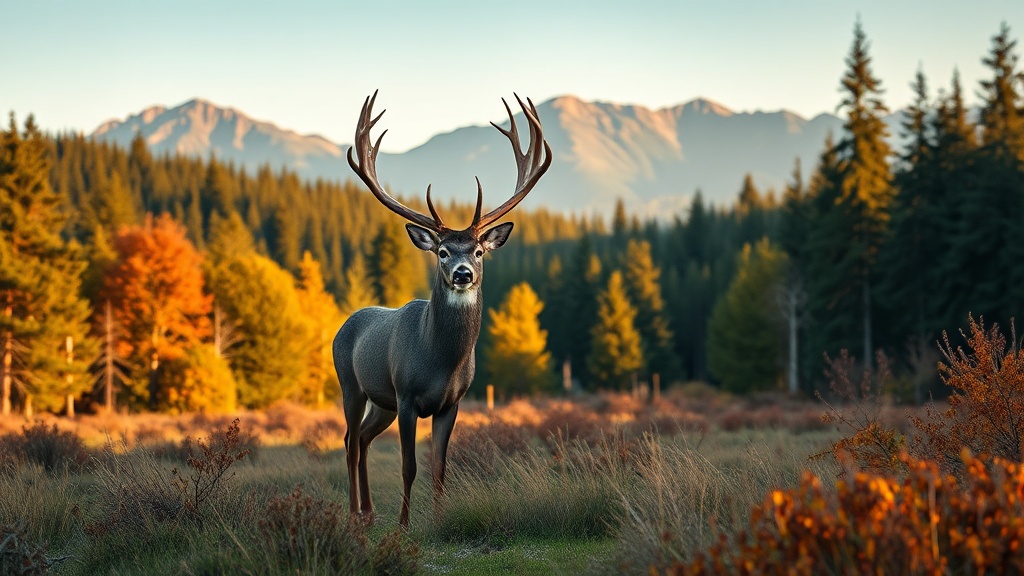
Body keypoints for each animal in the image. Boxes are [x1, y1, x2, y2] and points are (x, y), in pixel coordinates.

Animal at [333, 91, 551, 529]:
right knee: (349, 441)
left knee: (362, 437)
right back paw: (354, 513)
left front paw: (439, 519)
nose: (463, 273)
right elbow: (408, 466)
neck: (439, 360)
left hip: (380, 400)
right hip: (351, 383)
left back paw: (369, 511)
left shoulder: (451, 402)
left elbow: (439, 466)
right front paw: (403, 525)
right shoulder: (406, 395)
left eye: (480, 251)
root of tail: (344, 325)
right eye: (443, 251)